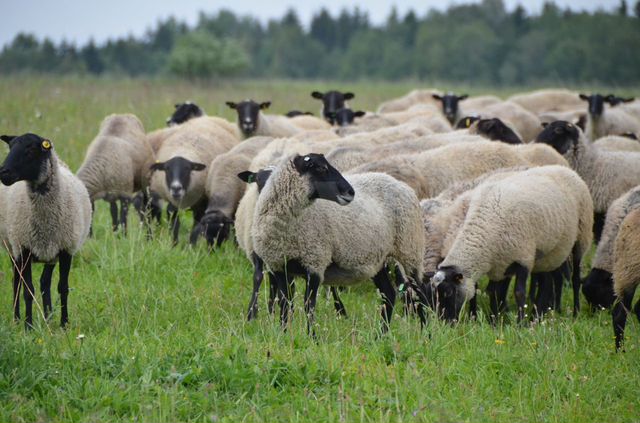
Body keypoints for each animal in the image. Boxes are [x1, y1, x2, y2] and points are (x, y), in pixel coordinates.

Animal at [0, 133, 92, 328]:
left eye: (31, 150)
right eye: (10, 147)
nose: (3, 173)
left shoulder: (65, 249)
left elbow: (62, 288)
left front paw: (64, 324)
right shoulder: (24, 248)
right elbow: (28, 290)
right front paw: (28, 326)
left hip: (50, 254)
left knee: (45, 283)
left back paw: (48, 318)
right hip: (12, 247)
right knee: (16, 283)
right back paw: (17, 319)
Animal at [252, 153, 425, 333]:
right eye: (321, 168)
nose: (350, 192)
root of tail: (402, 184)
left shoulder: (315, 262)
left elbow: (309, 305)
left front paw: (311, 336)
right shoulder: (279, 267)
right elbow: (285, 304)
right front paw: (284, 333)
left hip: (410, 249)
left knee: (420, 293)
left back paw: (426, 333)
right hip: (378, 259)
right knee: (389, 294)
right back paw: (381, 335)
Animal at [427, 165, 593, 322]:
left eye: (448, 292)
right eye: (435, 295)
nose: (445, 321)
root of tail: (566, 169)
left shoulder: (523, 256)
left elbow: (519, 293)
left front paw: (519, 323)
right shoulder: (498, 266)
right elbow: (494, 292)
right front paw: (494, 321)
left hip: (581, 235)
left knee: (575, 278)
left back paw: (575, 312)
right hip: (550, 251)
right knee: (547, 281)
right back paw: (539, 315)